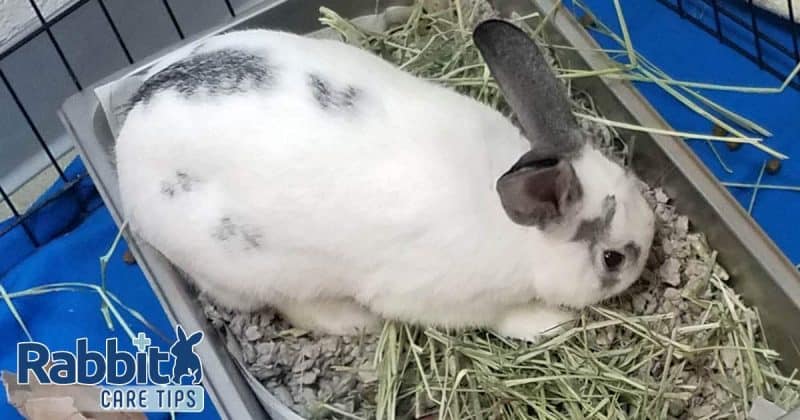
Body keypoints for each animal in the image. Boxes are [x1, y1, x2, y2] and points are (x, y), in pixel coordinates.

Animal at [115, 19, 655, 342]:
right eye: (612, 258)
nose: (647, 257)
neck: (518, 234)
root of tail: (127, 135)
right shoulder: (443, 301)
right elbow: (503, 317)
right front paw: (550, 321)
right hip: (249, 268)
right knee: (295, 305)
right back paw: (354, 320)